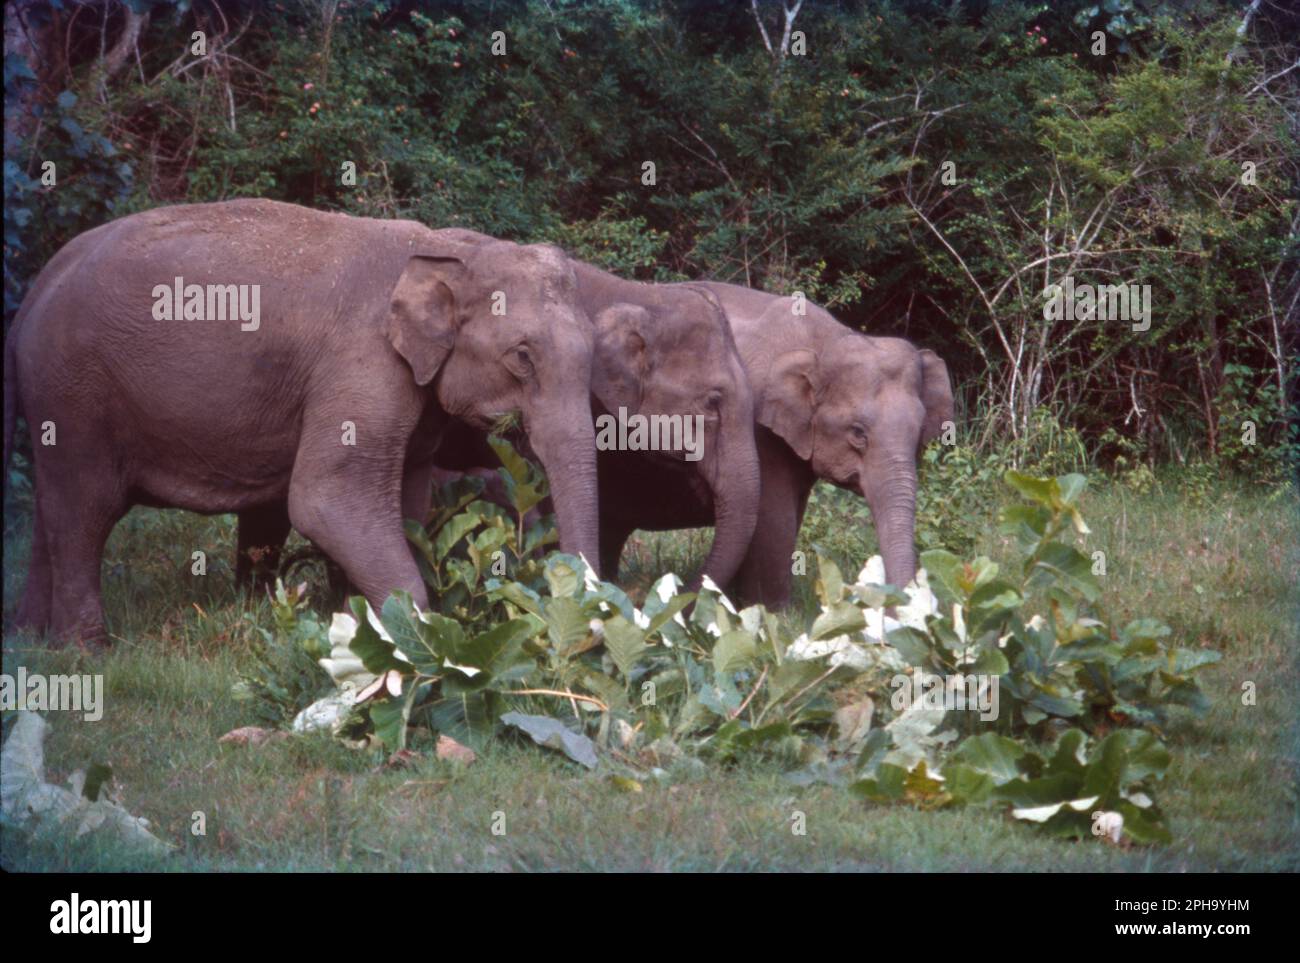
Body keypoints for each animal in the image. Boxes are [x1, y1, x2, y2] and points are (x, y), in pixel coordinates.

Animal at [3, 198, 602, 645]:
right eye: (522, 356)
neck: (449, 249)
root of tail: (33, 295)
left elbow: (405, 503)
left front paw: (364, 620)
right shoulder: (361, 366)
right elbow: (326, 500)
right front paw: (412, 638)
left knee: (53, 509)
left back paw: (33, 637)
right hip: (73, 390)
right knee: (86, 507)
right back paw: (88, 650)